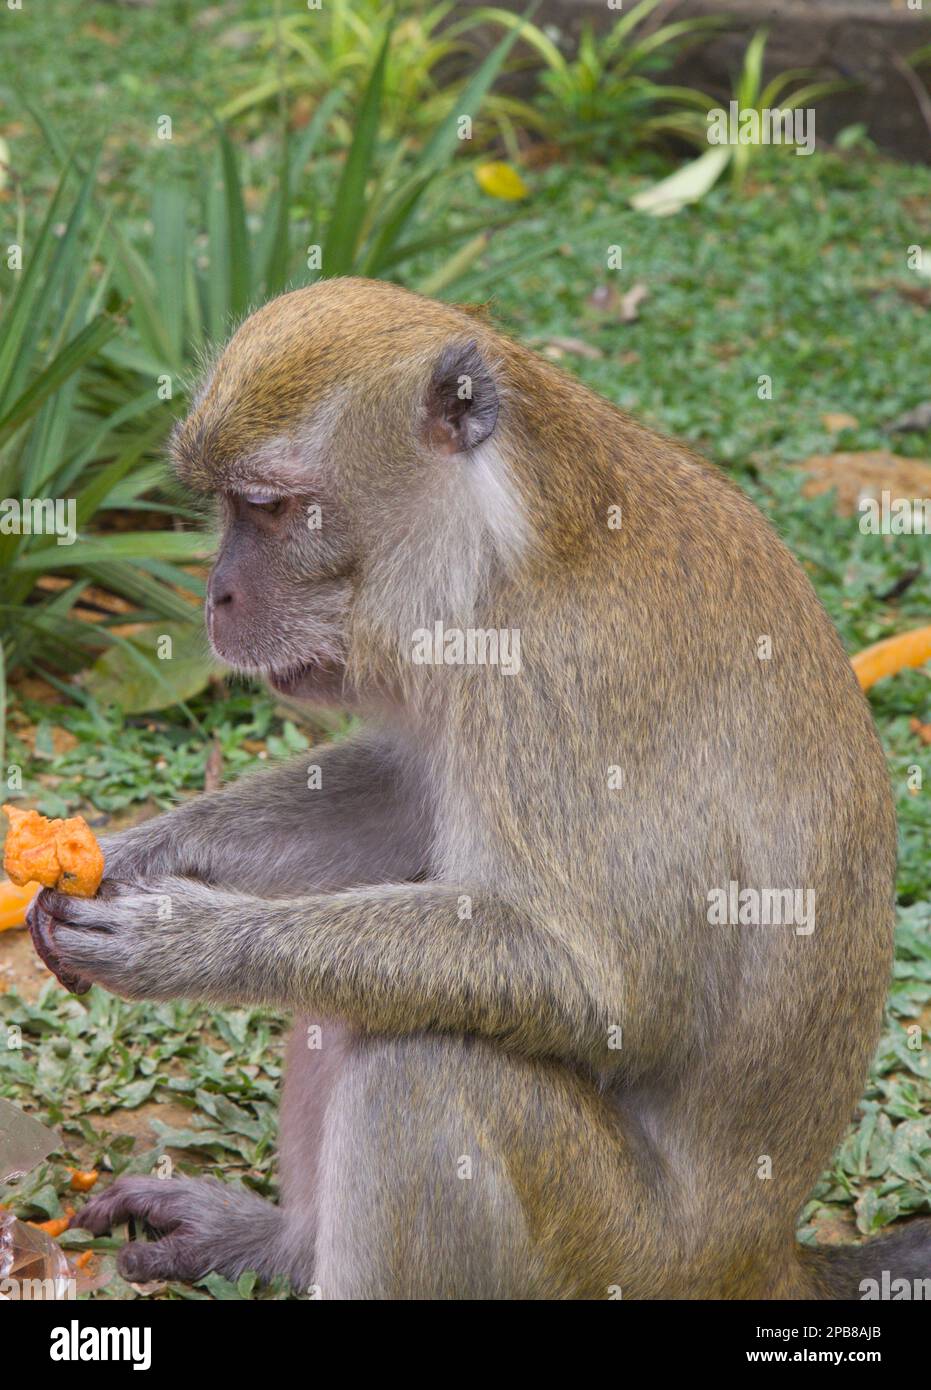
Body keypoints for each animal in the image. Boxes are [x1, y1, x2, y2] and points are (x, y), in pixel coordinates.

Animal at [29, 276, 930, 1299]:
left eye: (269, 507)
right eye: (227, 506)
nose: (215, 596)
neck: (509, 550)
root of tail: (762, 1255)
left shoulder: (560, 684)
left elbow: (603, 987)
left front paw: (185, 940)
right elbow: (402, 800)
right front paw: (131, 850)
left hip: (619, 1251)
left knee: (423, 1065)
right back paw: (283, 1246)